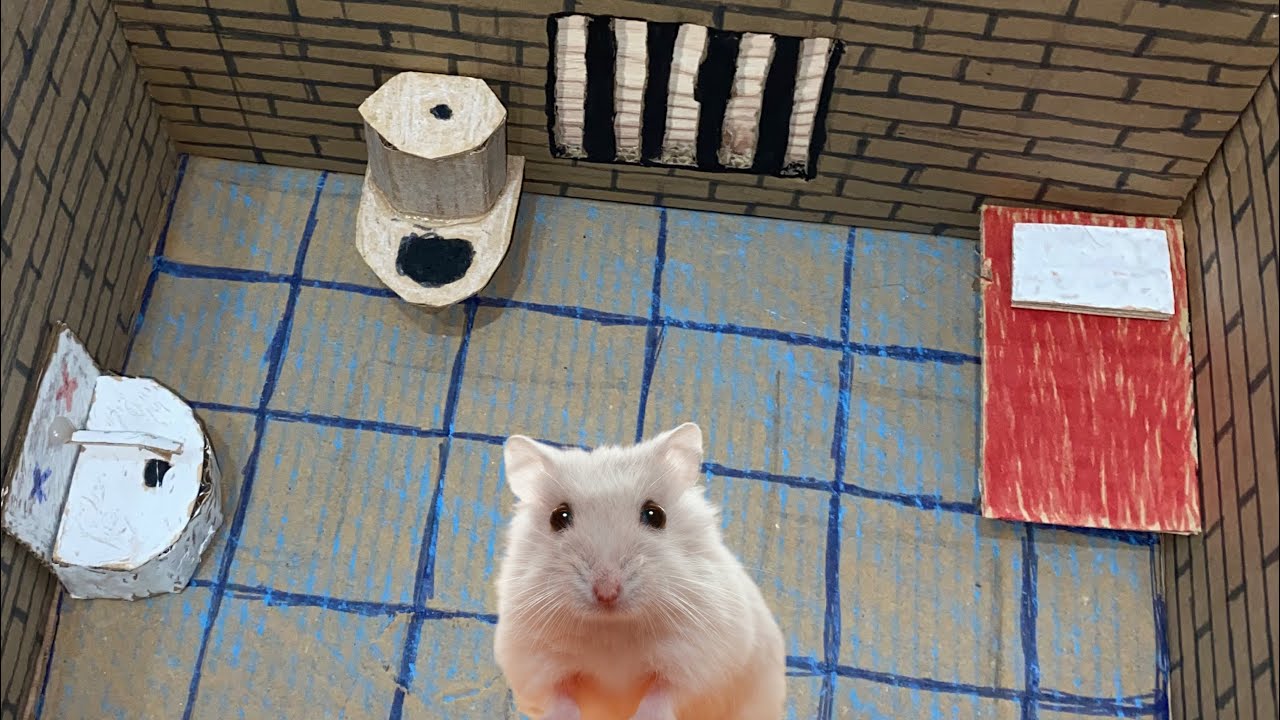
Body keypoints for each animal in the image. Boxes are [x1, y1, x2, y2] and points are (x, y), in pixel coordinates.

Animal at [493, 422, 786, 720]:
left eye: (655, 514)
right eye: (558, 517)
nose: (607, 592)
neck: (614, 628)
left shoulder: (698, 656)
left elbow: (662, 694)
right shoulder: (535, 663)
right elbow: (560, 697)